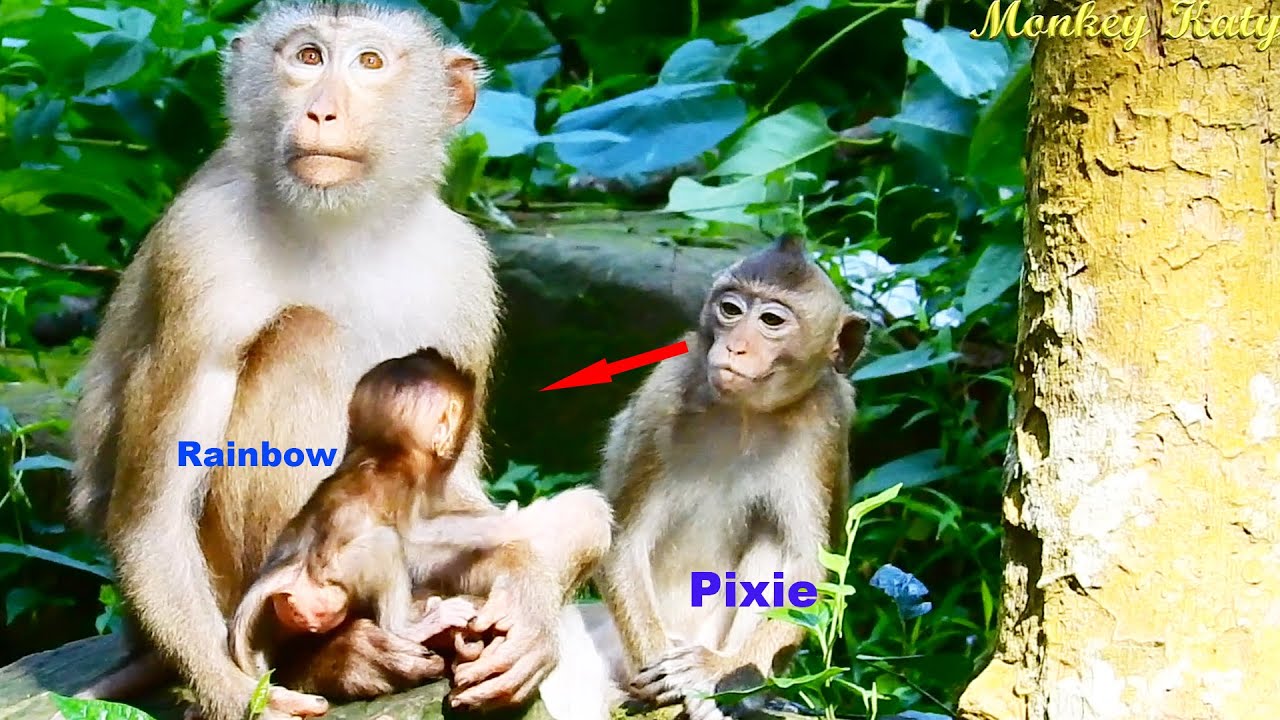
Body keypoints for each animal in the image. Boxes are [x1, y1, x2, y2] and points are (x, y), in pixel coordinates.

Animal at [67, 3, 613, 719]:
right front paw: (234, 695)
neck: (338, 224)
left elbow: (456, 481)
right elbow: (150, 516)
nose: (322, 110)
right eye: (307, 57)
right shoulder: (199, 252)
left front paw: (528, 602)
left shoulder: (465, 270)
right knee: (306, 339)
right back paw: (334, 655)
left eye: (369, 63)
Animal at [560, 236, 870, 720]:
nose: (735, 347)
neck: (745, 411)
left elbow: (807, 562)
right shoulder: (665, 390)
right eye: (730, 309)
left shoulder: (828, 420)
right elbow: (624, 542)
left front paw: (712, 673)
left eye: (771, 320)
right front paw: (668, 681)